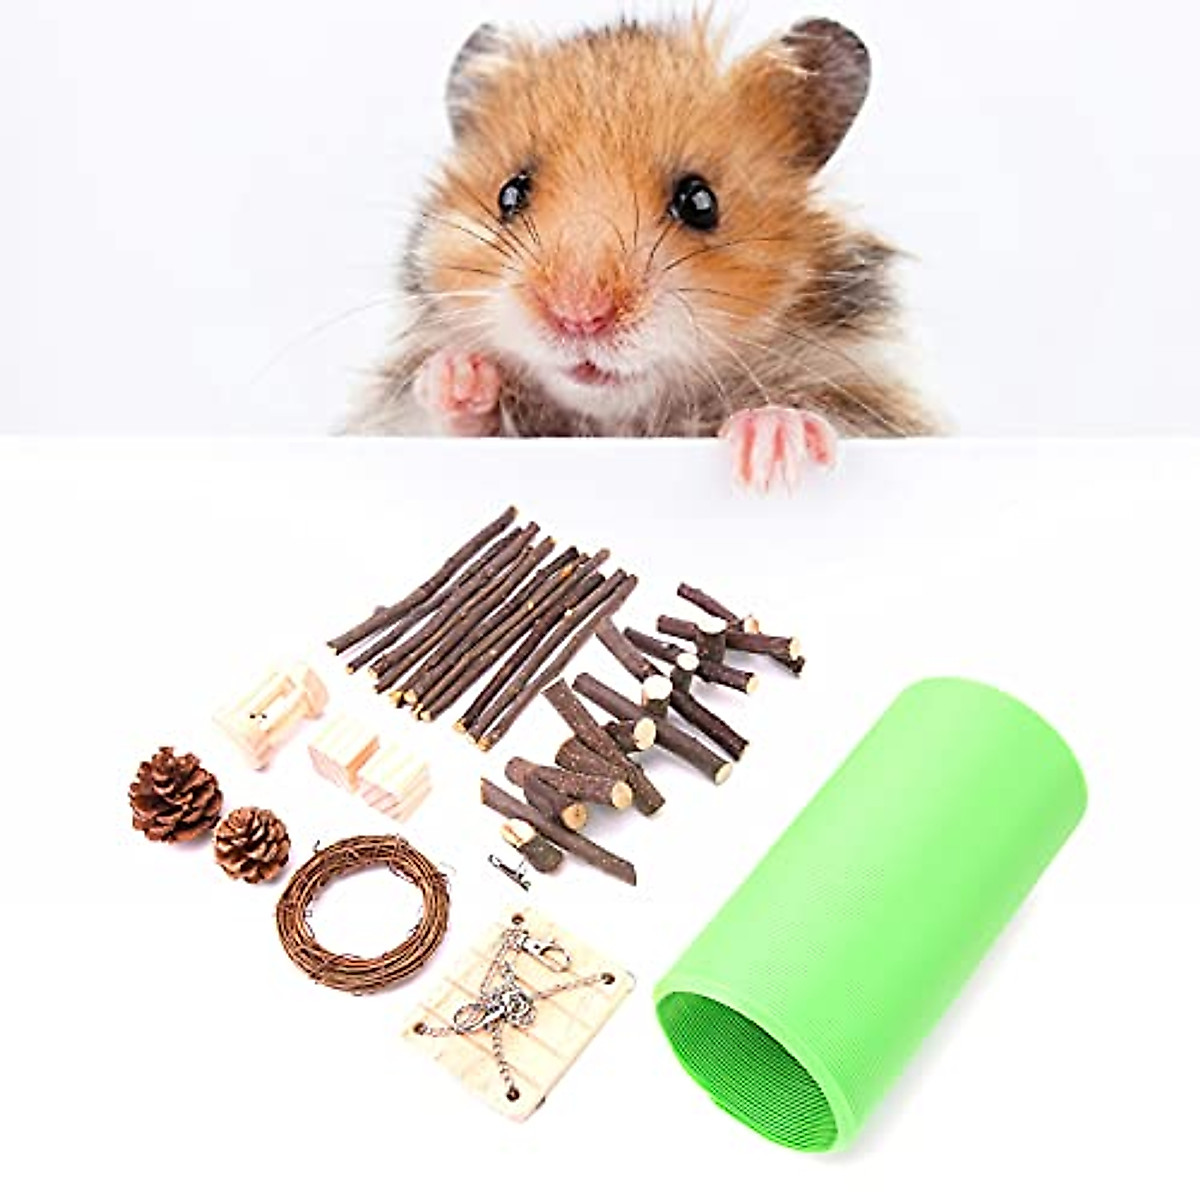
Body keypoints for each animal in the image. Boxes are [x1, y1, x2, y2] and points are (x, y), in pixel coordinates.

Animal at [344, 15, 940, 488]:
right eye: (509, 194)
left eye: (700, 201)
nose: (577, 317)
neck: (623, 419)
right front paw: (458, 377)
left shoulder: (876, 407)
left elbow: (824, 413)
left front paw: (771, 445)